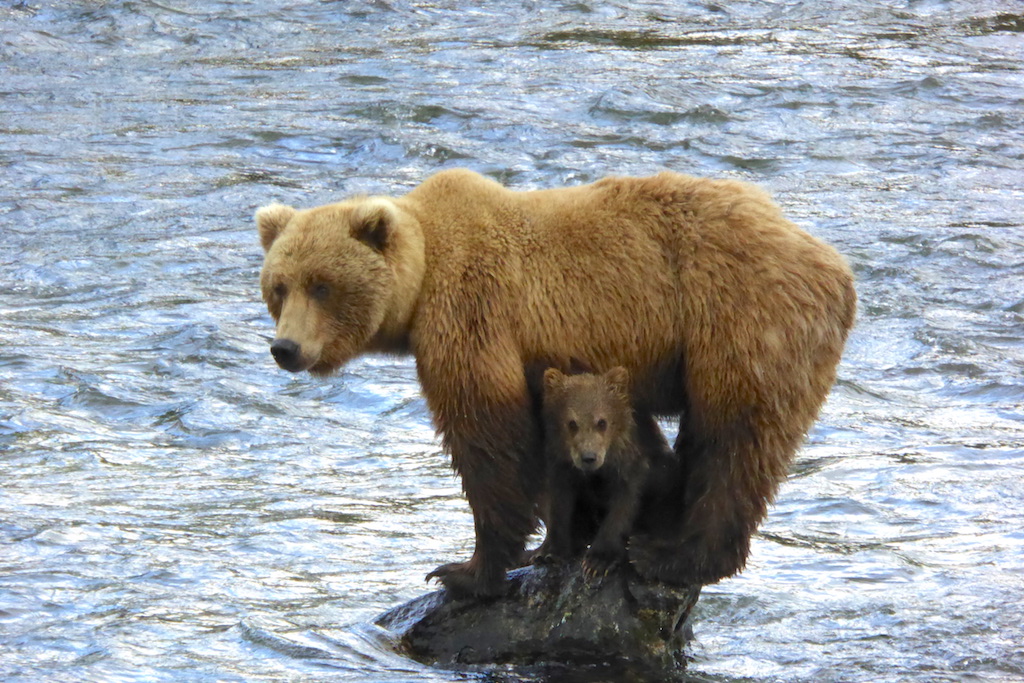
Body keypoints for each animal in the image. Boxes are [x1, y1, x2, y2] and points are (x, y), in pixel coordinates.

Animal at [535, 366, 680, 581]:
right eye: (572, 423)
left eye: (601, 422)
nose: (588, 457)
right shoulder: (562, 465)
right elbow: (560, 502)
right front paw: (549, 551)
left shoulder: (632, 465)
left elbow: (624, 505)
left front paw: (598, 561)